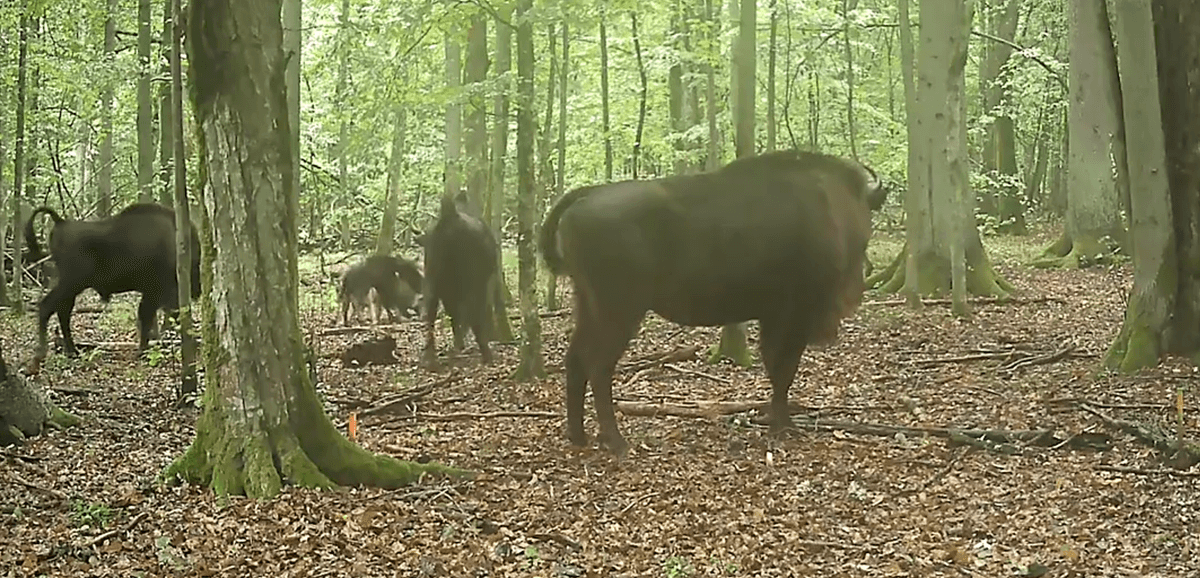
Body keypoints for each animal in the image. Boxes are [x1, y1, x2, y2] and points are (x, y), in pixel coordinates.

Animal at [539, 150, 888, 455]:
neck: (828, 203)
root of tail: (588, 195)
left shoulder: (773, 317)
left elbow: (776, 368)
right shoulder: (794, 317)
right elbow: (784, 369)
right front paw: (785, 427)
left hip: (588, 306)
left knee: (575, 360)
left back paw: (578, 436)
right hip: (620, 312)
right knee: (599, 366)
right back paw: (616, 441)